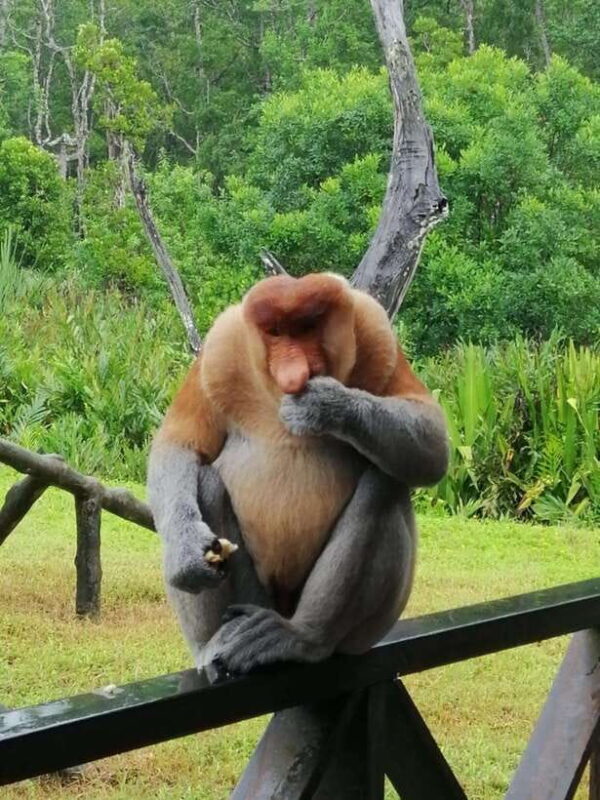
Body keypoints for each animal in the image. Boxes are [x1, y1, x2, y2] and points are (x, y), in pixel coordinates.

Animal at [147, 273, 448, 677]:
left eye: (307, 328)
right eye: (275, 332)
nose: (293, 371)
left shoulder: (375, 330)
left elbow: (432, 441)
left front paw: (324, 404)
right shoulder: (220, 348)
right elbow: (180, 443)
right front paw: (187, 551)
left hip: (363, 630)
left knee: (384, 484)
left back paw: (301, 637)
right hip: (253, 598)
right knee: (206, 482)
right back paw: (211, 645)